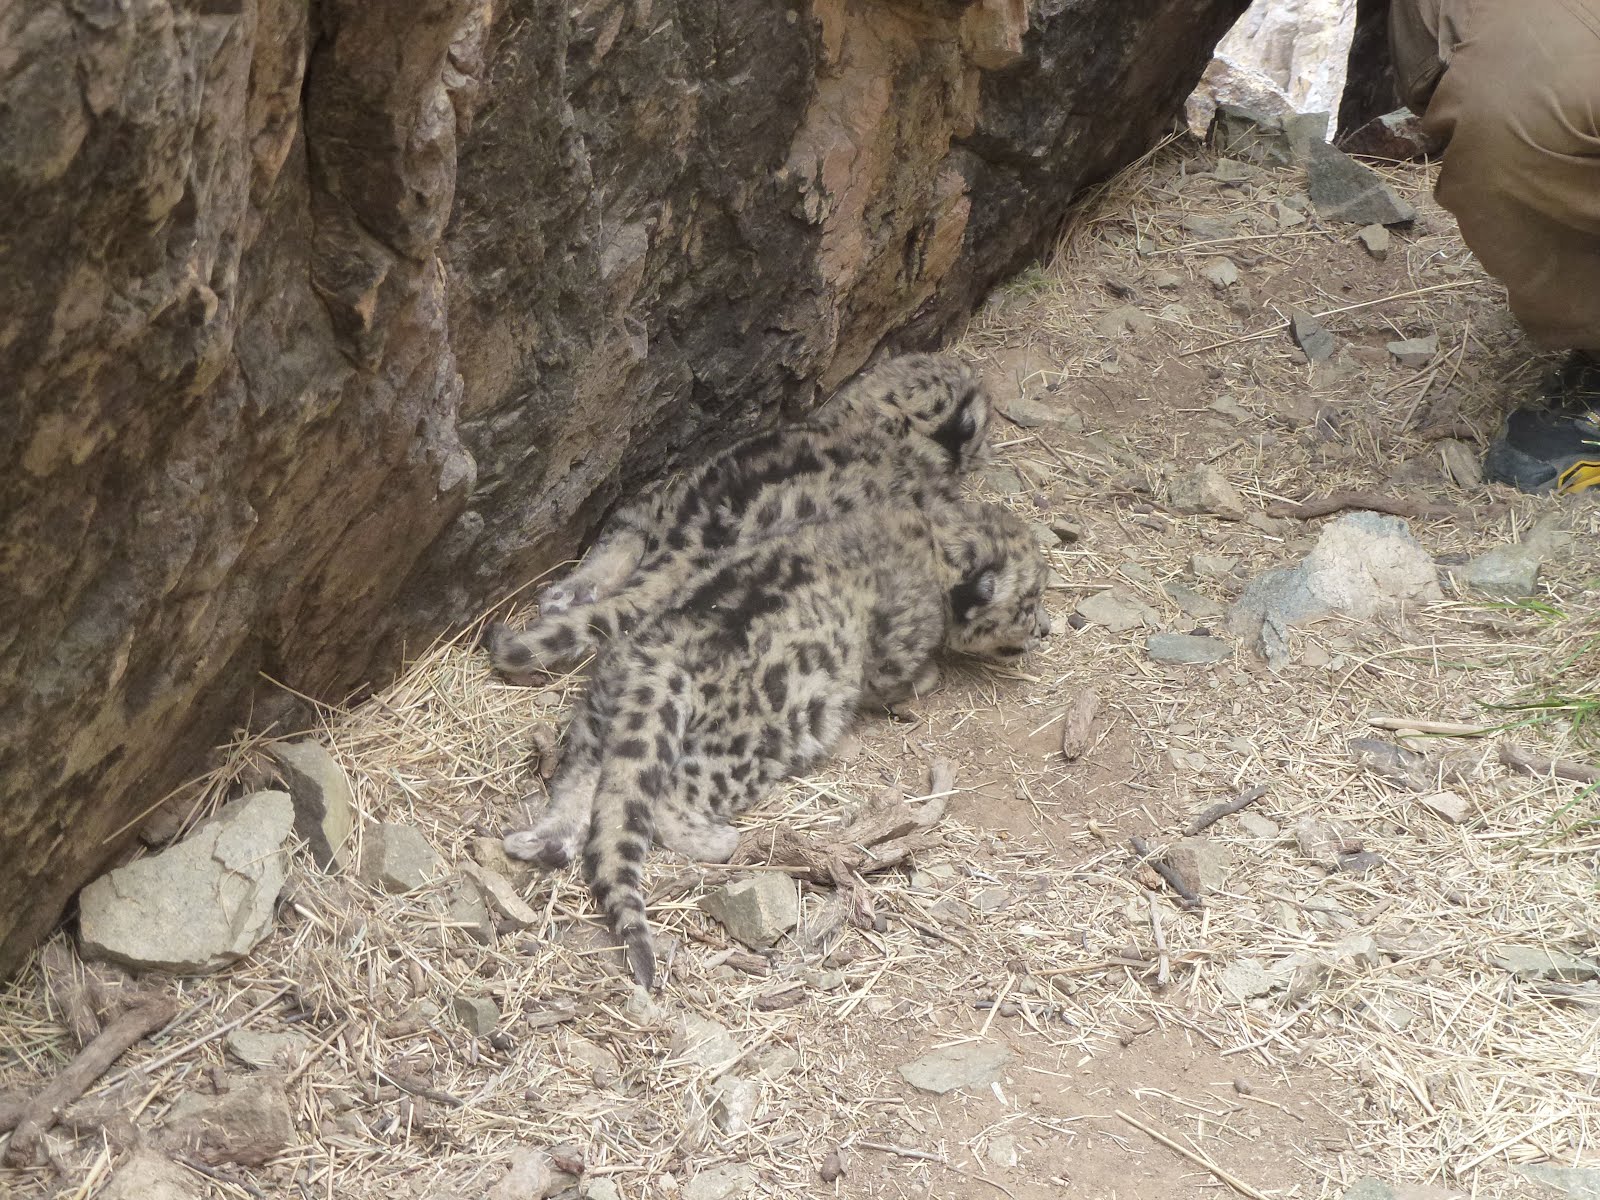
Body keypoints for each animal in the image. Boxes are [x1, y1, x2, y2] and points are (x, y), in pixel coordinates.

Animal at [492, 353, 991, 678]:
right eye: (976, 417)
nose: (975, 374)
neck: (879, 425)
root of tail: (687, 543)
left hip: (653, 504)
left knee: (619, 540)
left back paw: (567, 592)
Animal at [500, 492, 1051, 990]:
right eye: (1028, 604)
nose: (1045, 629)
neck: (928, 538)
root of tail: (660, 654)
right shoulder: (890, 652)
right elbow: (896, 677)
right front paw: (929, 676)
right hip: (742, 746)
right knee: (670, 801)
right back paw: (722, 842)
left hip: (599, 725)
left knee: (584, 790)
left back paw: (539, 842)